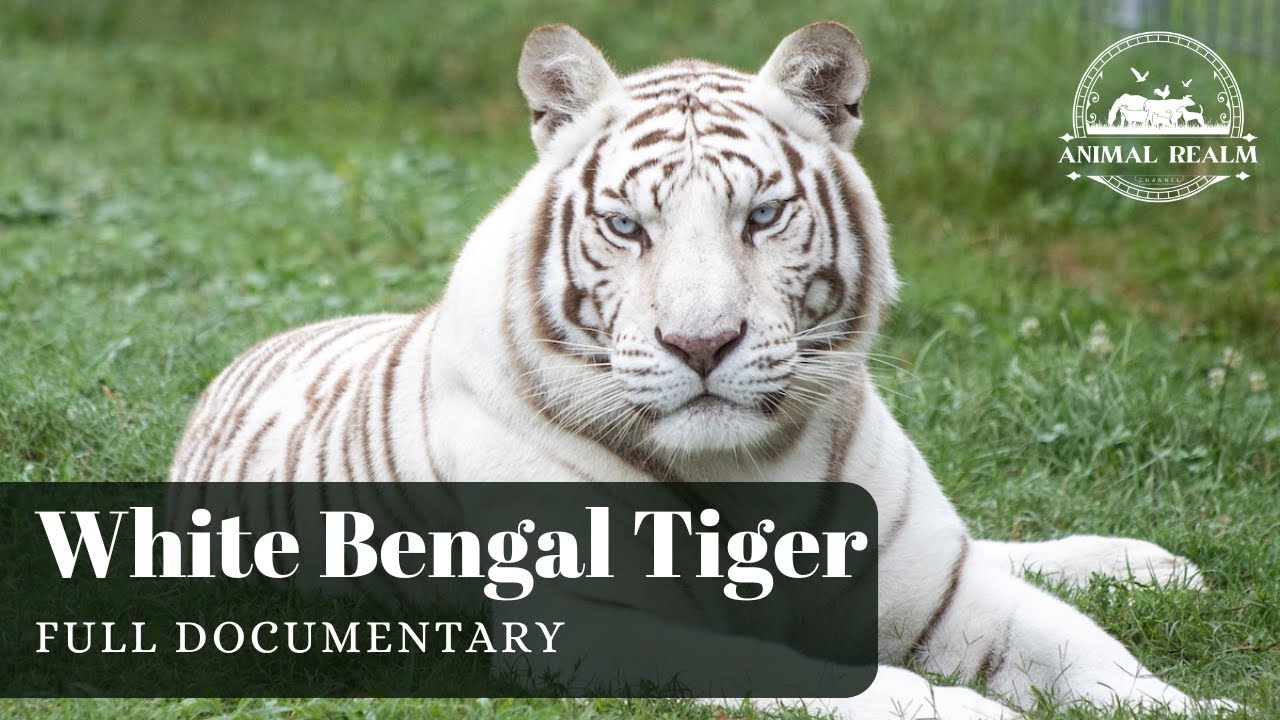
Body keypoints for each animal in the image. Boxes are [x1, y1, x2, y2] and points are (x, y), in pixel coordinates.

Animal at [170, 22, 1239, 719]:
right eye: (625, 225)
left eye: (761, 215)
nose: (701, 343)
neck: (754, 469)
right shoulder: (604, 628)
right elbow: (855, 684)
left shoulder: (937, 586)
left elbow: (1085, 650)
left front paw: (1189, 700)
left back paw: (1152, 566)